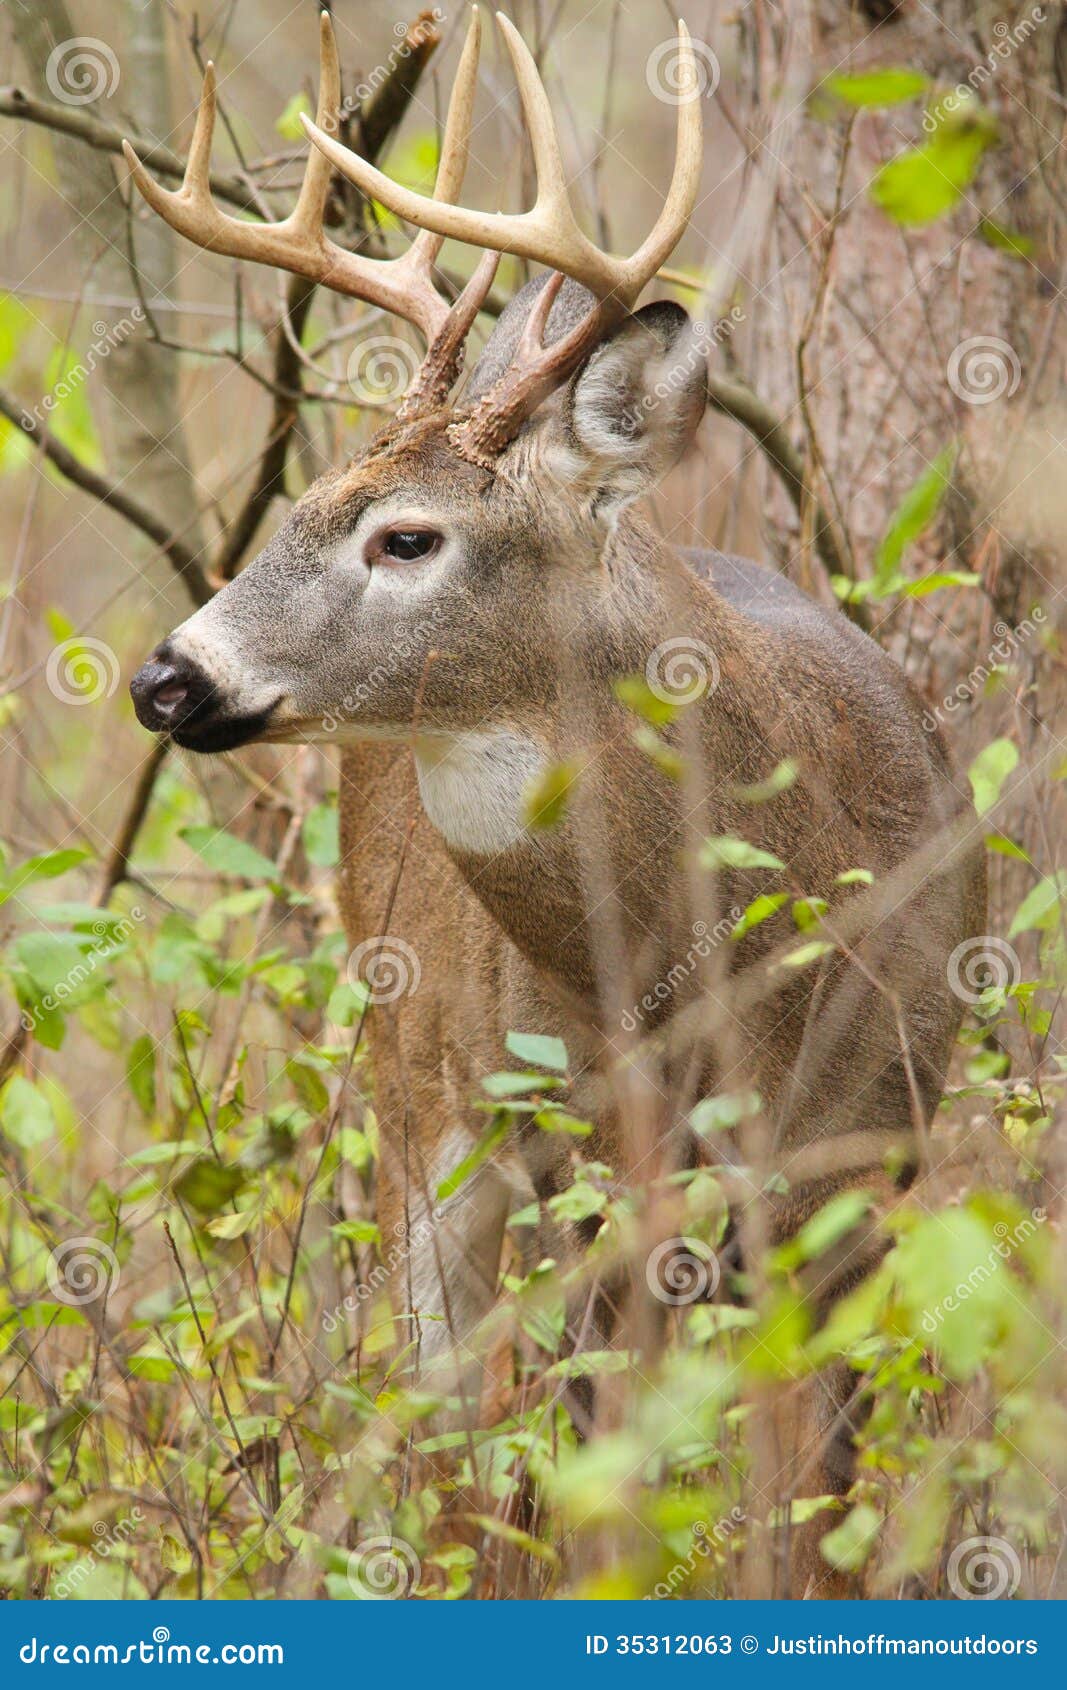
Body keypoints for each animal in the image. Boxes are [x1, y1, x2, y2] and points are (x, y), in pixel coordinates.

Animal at [127, 11, 986, 1596]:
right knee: (451, 1442)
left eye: (406, 536)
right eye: (297, 506)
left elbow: (806, 1514)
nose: (167, 676)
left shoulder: (852, 1171)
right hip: (430, 1109)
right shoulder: (583, 1172)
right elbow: (600, 1496)